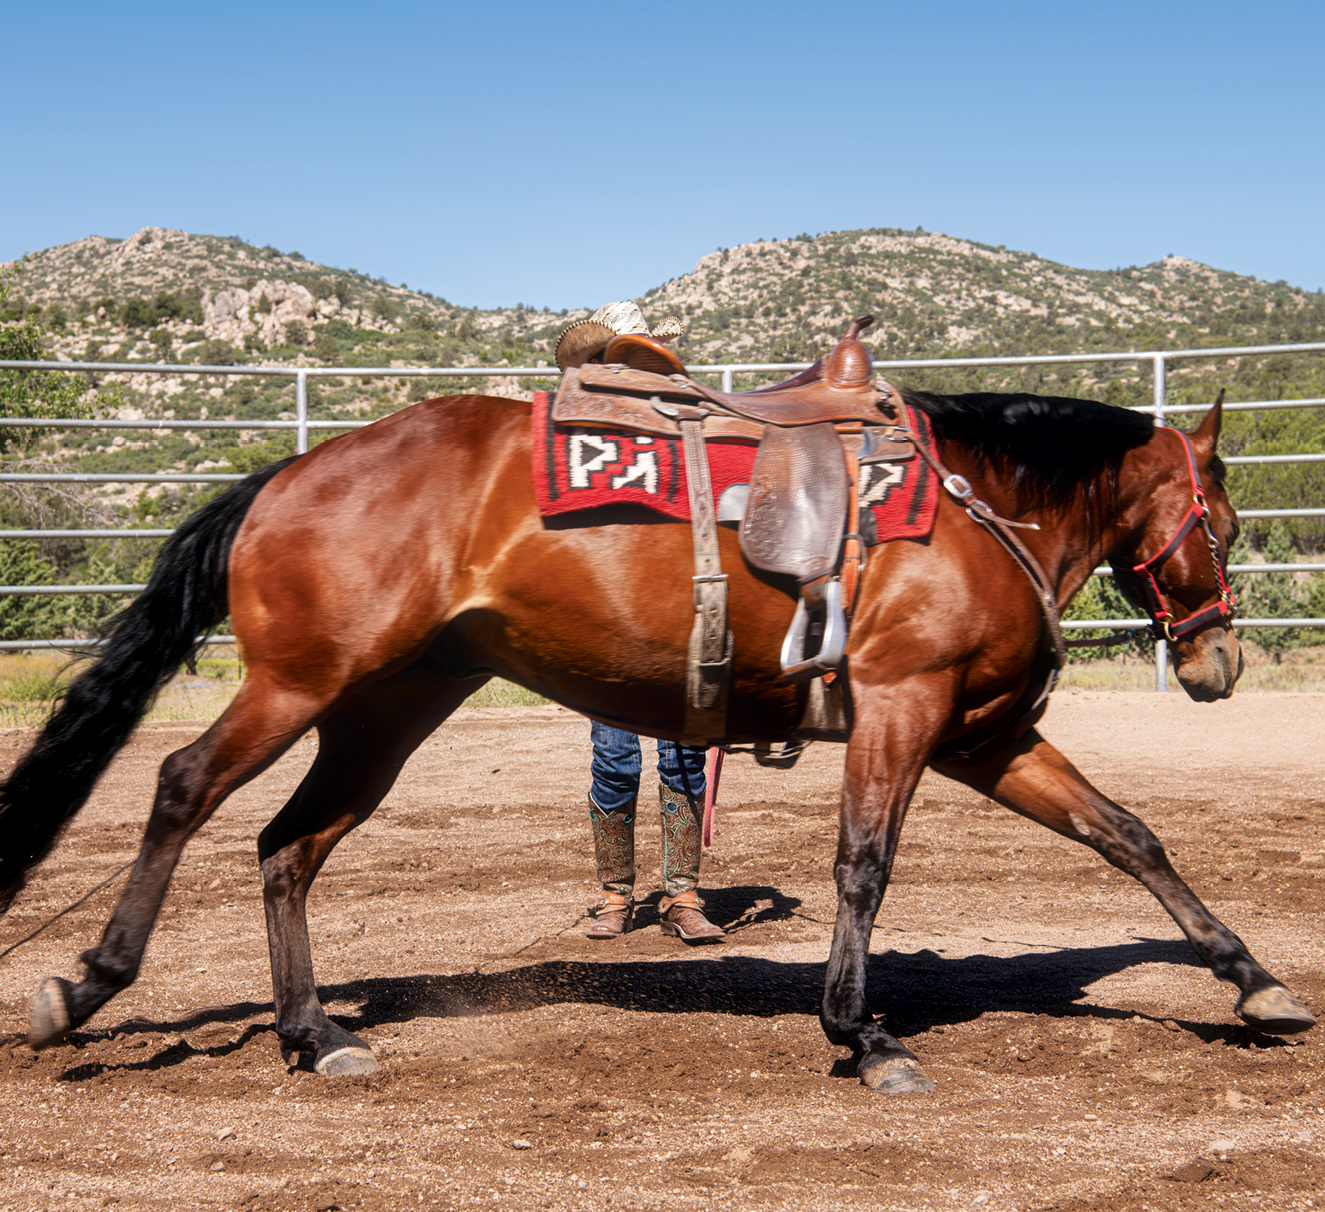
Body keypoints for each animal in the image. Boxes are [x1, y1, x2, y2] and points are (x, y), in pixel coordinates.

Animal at [0, 385, 1313, 1095]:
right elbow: (862, 867)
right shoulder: (900, 710)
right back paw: (88, 984)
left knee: (288, 847)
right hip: (301, 684)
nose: (1217, 660)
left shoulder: (978, 737)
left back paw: (314, 1035)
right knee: (183, 786)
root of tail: (293, 471)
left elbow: (1127, 836)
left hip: (389, 706)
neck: (968, 511)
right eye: (1220, 517)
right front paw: (861, 1032)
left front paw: (1253, 982)